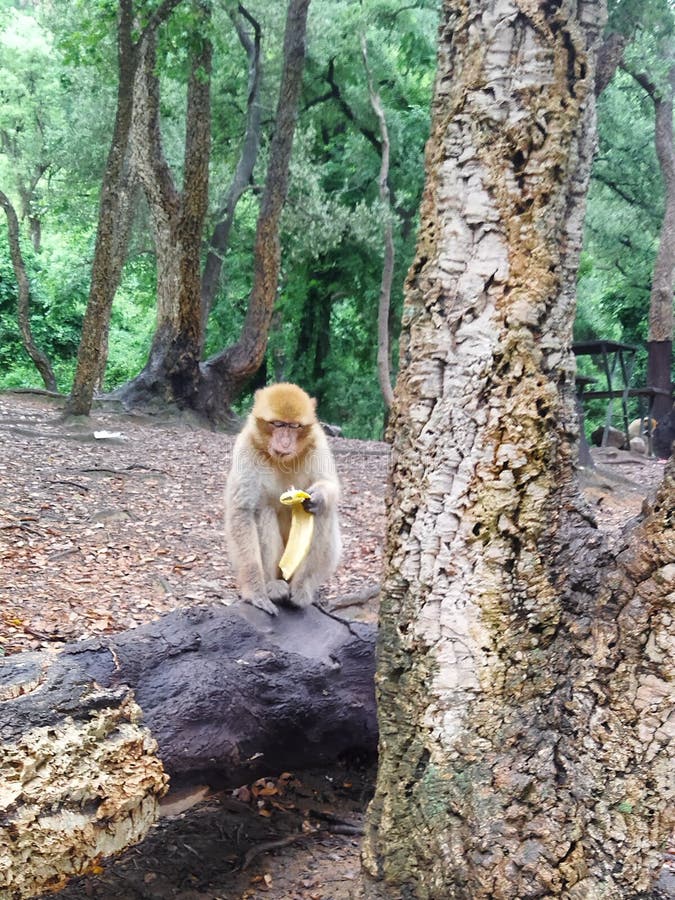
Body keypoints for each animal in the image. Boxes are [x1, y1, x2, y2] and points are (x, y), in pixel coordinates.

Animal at [225, 383, 341, 615]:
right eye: (278, 424)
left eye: (294, 426)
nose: (285, 441)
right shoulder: (246, 446)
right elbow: (243, 511)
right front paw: (256, 593)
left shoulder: (319, 442)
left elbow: (330, 485)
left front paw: (319, 497)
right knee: (263, 509)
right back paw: (272, 586)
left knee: (323, 513)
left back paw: (302, 588)